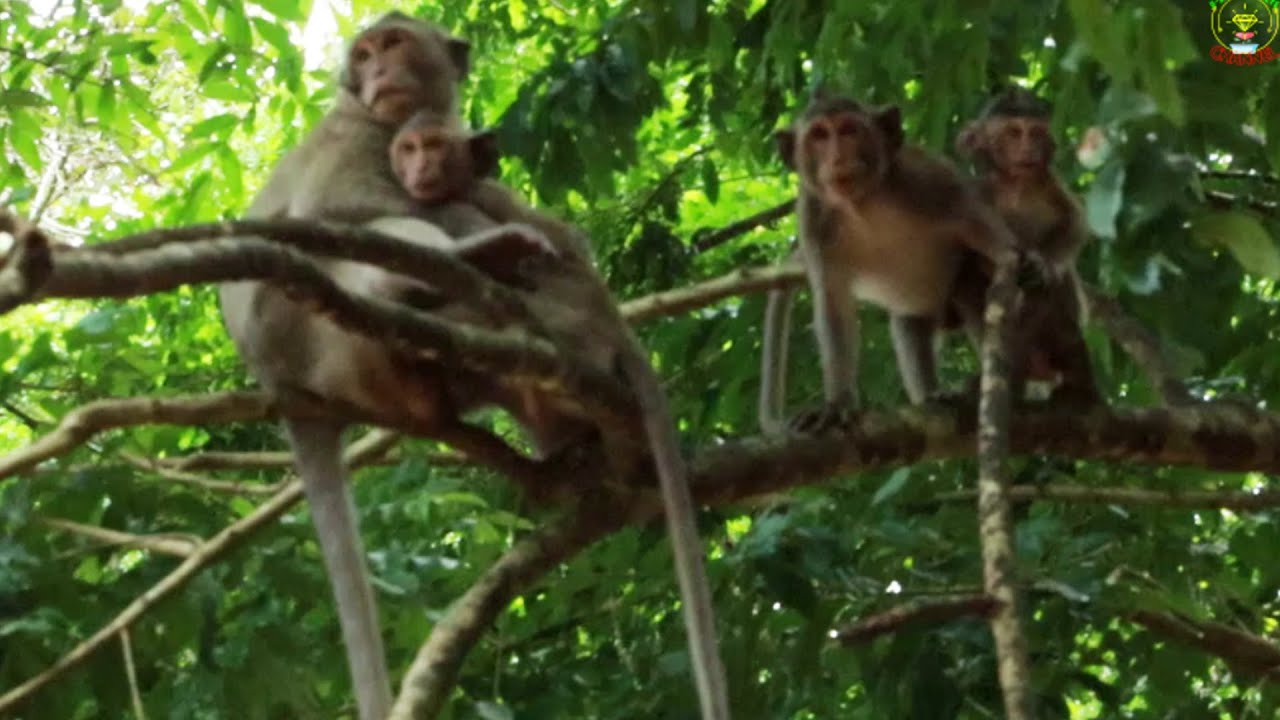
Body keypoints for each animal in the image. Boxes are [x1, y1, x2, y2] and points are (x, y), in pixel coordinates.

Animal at [387, 109, 733, 720]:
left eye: (433, 146)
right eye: (410, 148)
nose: (419, 167)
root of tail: (612, 328)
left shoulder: (472, 199)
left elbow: (528, 237)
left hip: (563, 324)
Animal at [757, 93, 1023, 434]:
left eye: (849, 130)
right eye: (819, 136)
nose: (838, 158)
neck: (864, 204)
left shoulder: (923, 177)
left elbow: (974, 221)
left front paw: (1013, 257)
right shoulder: (813, 220)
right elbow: (833, 306)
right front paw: (838, 404)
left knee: (973, 288)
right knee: (910, 326)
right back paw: (933, 394)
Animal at [948, 87, 1100, 407]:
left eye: (1035, 133)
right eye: (1014, 133)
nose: (1029, 149)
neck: (1016, 185)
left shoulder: (1048, 181)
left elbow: (1075, 221)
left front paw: (1042, 263)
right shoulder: (978, 191)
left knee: (1050, 289)